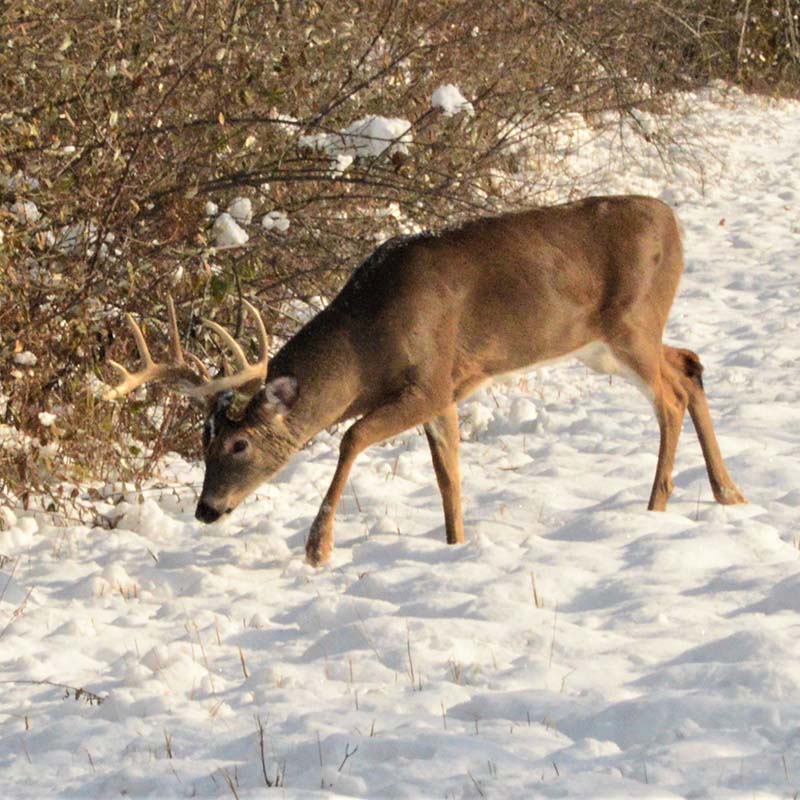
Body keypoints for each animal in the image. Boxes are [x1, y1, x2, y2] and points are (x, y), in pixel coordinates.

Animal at [105, 195, 745, 565]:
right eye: (202, 443)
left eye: (238, 444)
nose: (206, 510)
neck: (369, 338)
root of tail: (674, 221)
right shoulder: (450, 392)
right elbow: (448, 477)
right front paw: (455, 545)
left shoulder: (430, 380)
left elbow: (351, 438)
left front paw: (318, 548)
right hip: (603, 344)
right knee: (689, 365)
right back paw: (727, 493)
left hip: (632, 323)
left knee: (669, 398)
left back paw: (657, 507)